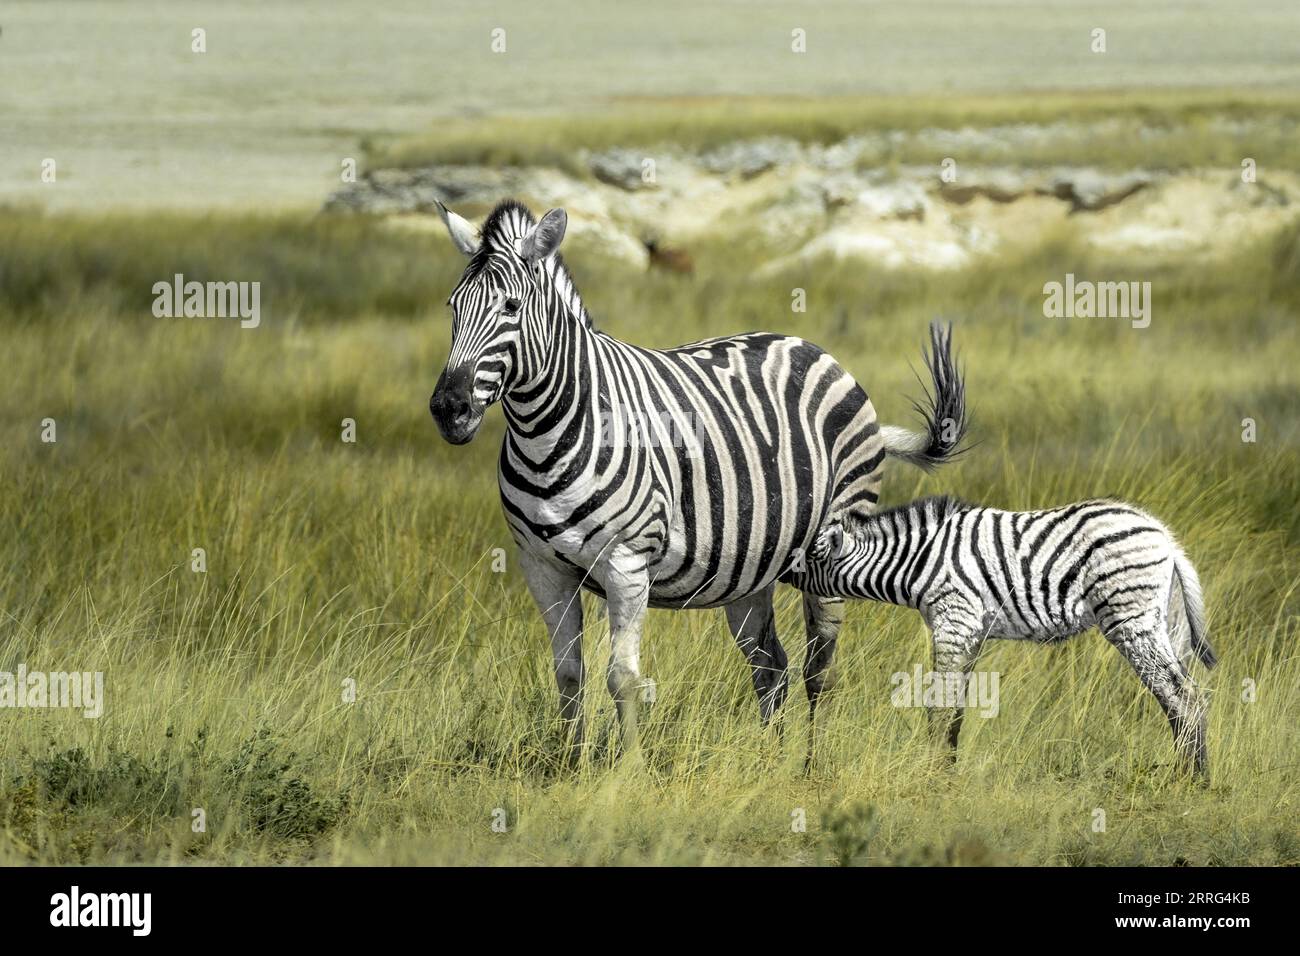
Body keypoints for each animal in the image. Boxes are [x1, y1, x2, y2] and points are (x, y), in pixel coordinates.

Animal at [428, 198, 967, 761]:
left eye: (511, 307)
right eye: (452, 308)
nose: (448, 409)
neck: (548, 430)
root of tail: (809, 346)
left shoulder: (627, 563)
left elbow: (622, 678)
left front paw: (629, 771)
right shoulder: (542, 567)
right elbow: (568, 674)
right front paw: (571, 765)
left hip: (837, 545)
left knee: (820, 669)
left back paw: (809, 765)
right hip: (750, 565)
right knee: (770, 665)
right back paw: (768, 760)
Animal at [794, 495, 1217, 779]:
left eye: (808, 557)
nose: (781, 566)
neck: (919, 562)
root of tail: (1165, 538)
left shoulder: (953, 621)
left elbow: (938, 705)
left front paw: (930, 775)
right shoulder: (970, 631)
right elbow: (956, 710)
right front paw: (947, 771)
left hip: (1131, 618)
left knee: (1181, 694)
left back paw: (1189, 778)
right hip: (1165, 621)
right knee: (1184, 693)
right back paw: (1192, 771)